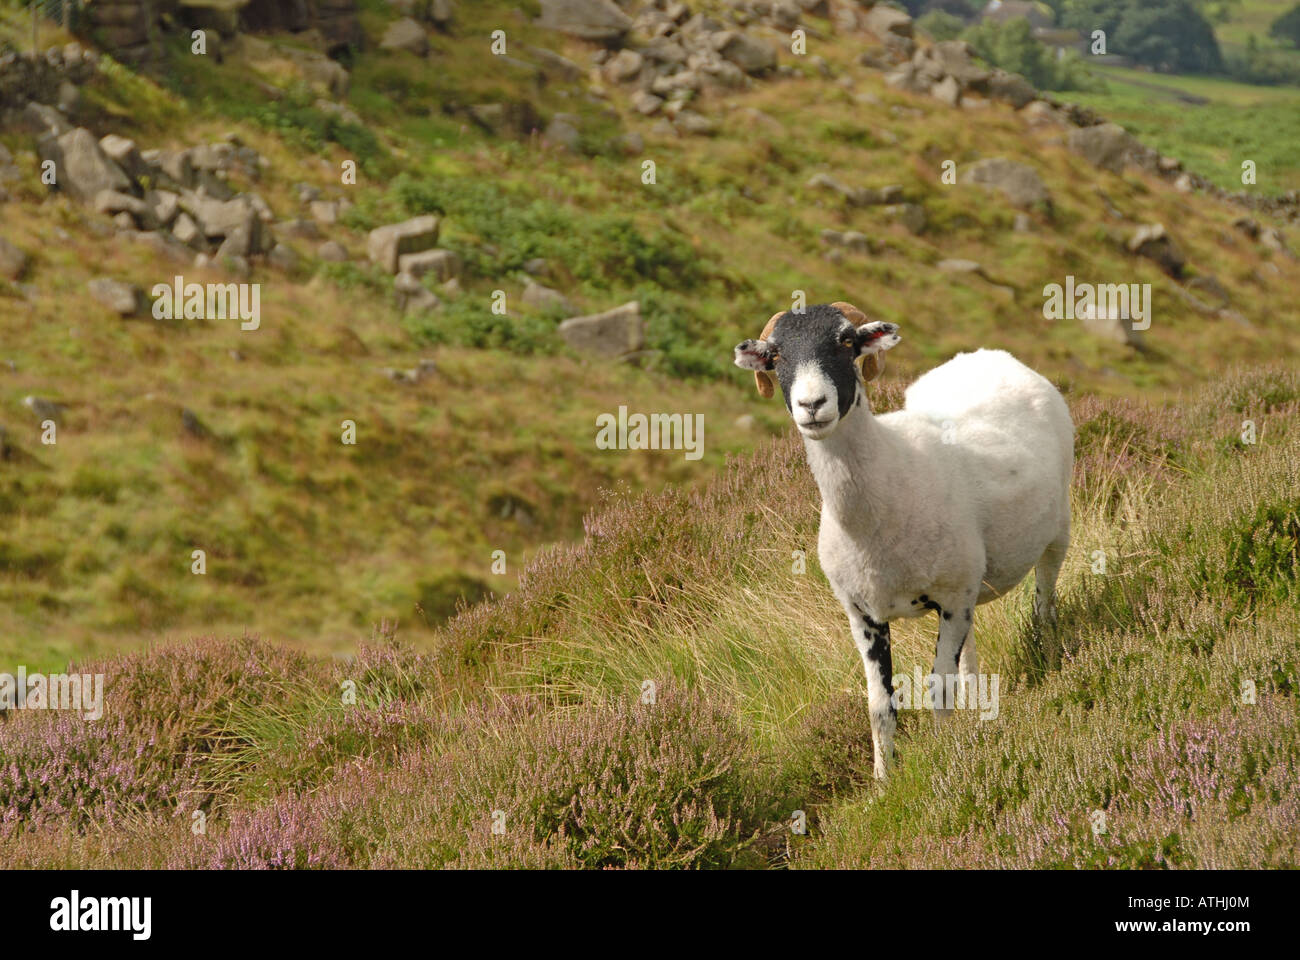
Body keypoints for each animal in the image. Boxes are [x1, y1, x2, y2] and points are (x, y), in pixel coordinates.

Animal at [734, 302, 1073, 779]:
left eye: (846, 341)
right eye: (776, 354)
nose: (811, 405)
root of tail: (990, 355)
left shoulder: (950, 599)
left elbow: (939, 688)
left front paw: (947, 759)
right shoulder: (864, 615)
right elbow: (880, 704)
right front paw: (883, 780)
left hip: (1055, 530)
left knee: (1045, 599)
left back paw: (1048, 654)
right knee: (971, 652)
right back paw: (980, 710)